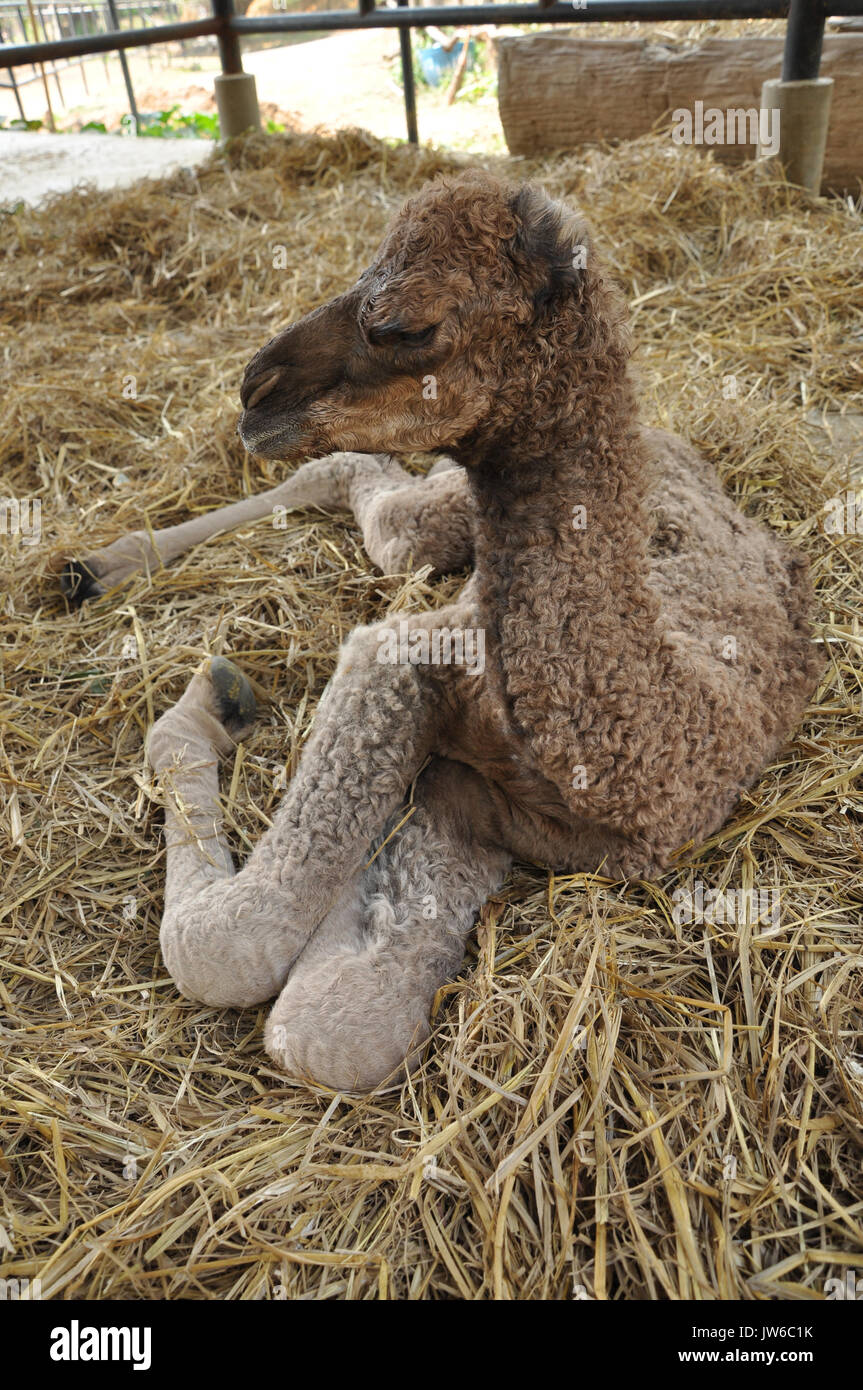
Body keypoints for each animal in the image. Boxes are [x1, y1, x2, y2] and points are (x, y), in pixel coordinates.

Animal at [63, 171, 821, 1093]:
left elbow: (328, 1024)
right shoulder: (398, 663)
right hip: (445, 514)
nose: (255, 393)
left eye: (408, 326)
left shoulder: (482, 807)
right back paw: (97, 570)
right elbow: (235, 945)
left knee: (371, 508)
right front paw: (211, 703)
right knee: (367, 498)